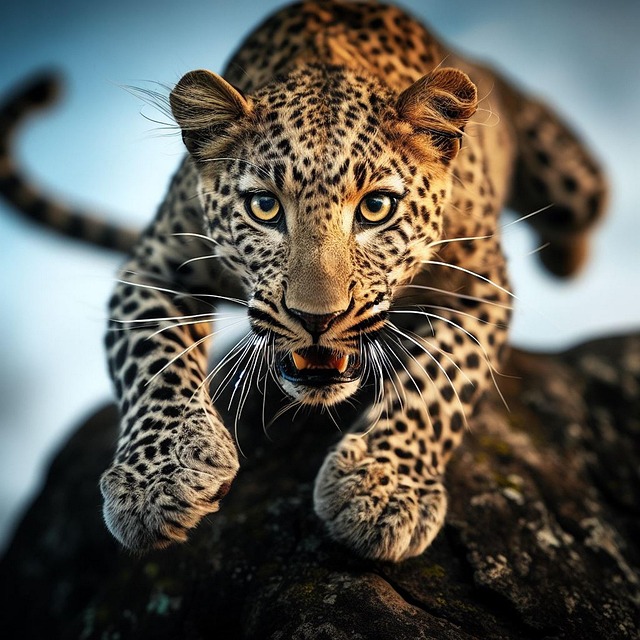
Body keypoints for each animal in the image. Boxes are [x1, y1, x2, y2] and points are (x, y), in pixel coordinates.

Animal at [0, 0, 607, 562]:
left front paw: (383, 490)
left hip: (575, 182)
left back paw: (566, 257)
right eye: (265, 207)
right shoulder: (153, 263)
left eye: (377, 208)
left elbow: (442, 379)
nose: (318, 319)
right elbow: (151, 363)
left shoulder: (481, 280)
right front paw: (158, 480)